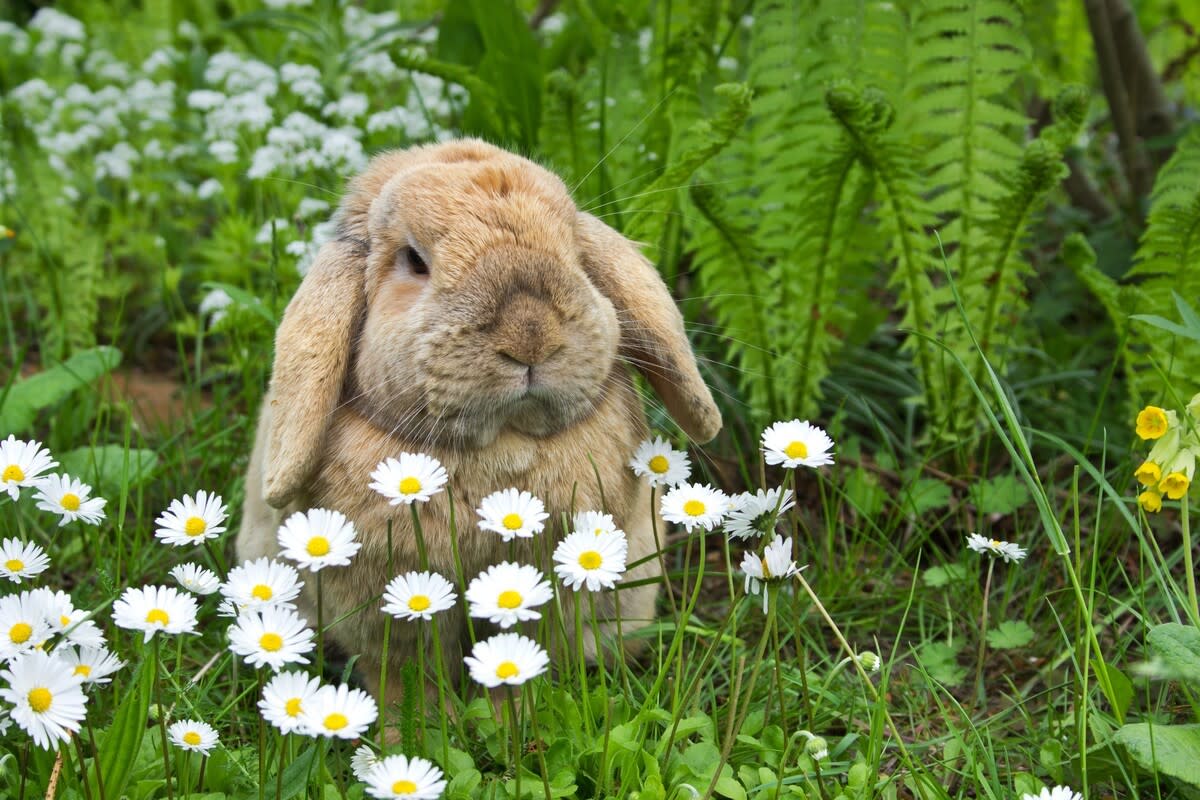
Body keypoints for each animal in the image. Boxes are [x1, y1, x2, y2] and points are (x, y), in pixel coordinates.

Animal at [236, 138, 721, 716]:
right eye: (414, 260)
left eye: (574, 252)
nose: (531, 335)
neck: (503, 448)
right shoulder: (387, 611)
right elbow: (406, 679)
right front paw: (412, 728)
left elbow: (517, 660)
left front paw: (513, 719)